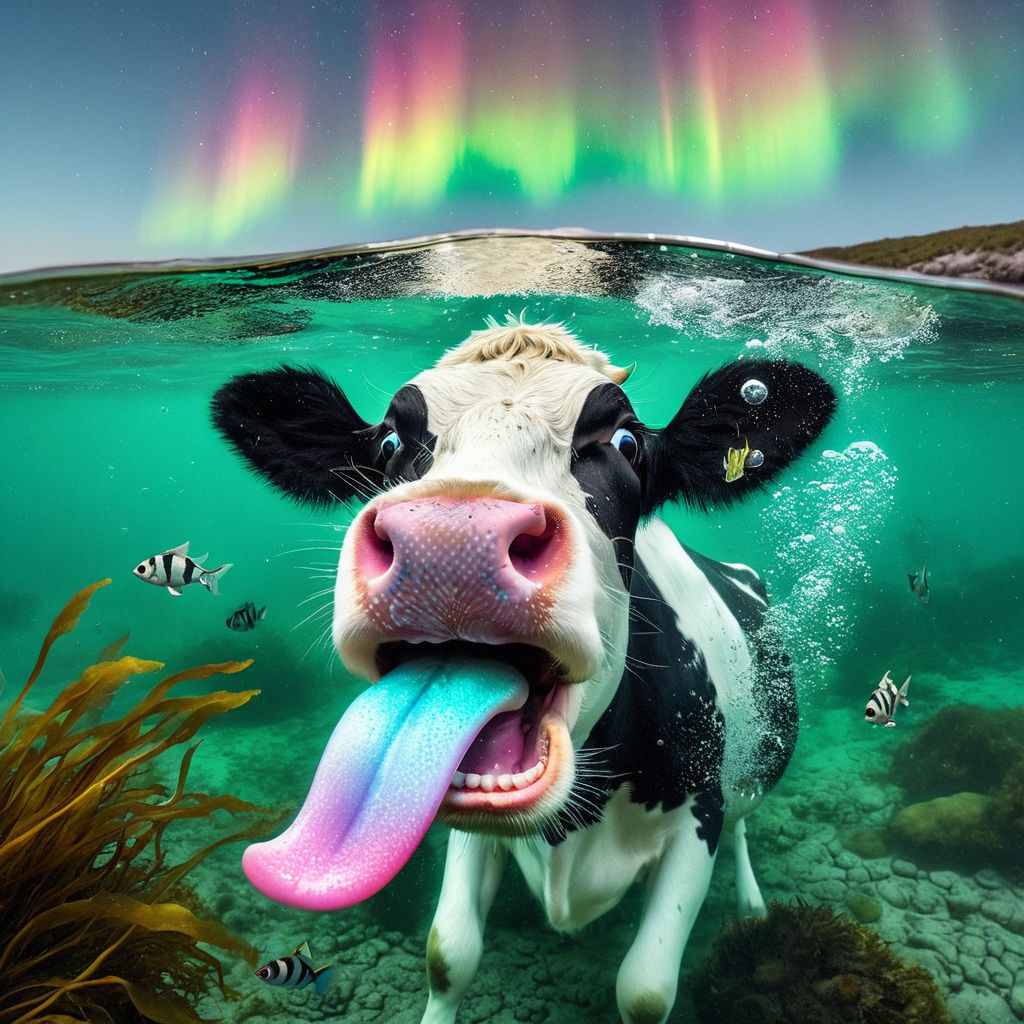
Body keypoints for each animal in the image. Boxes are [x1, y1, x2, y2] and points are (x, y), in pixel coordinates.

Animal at [211, 315, 836, 1024]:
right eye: (391, 440)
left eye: (626, 441)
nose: (450, 541)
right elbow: (448, 953)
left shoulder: (698, 811)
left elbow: (645, 989)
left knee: (744, 823)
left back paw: (753, 907)